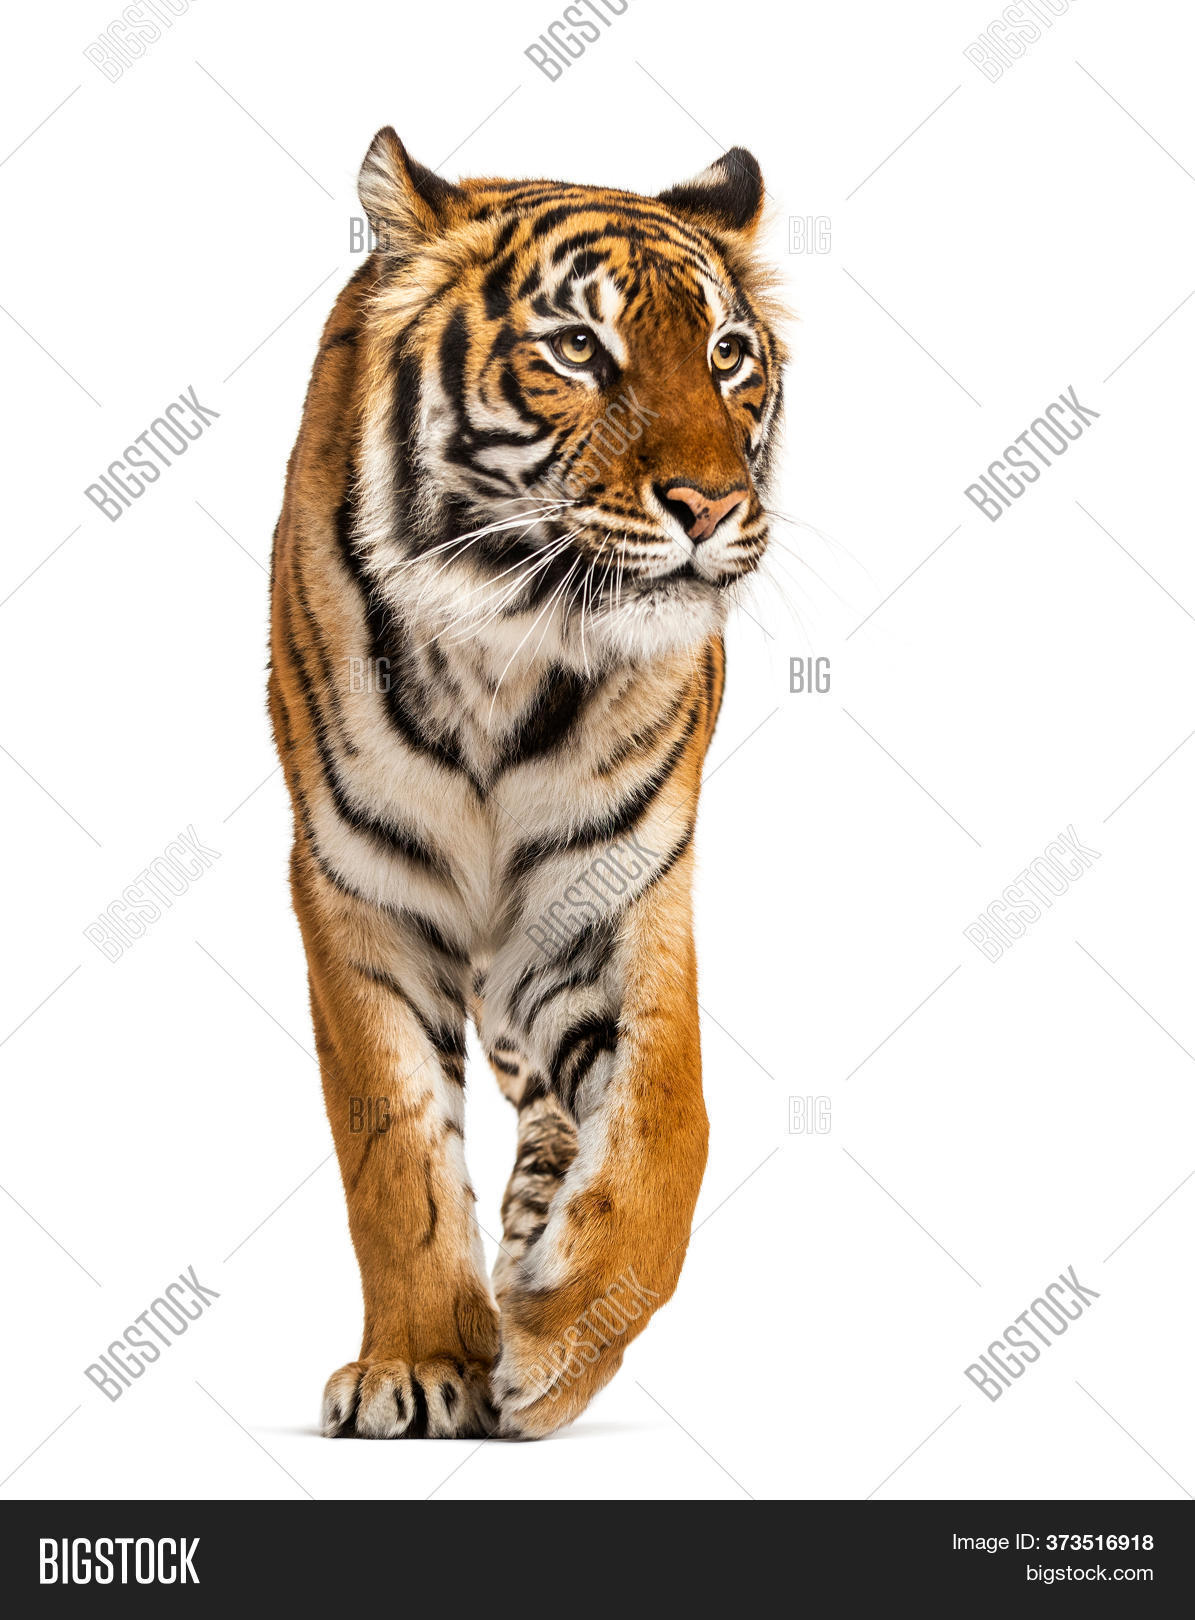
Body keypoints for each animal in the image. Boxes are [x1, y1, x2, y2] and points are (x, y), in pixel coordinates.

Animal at [268, 126, 785, 1440]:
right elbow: (392, 1153)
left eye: (727, 356)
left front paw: (554, 1338)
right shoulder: (357, 888)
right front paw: (415, 1367)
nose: (712, 505)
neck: (513, 641)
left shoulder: (611, 887)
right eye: (578, 350)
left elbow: (665, 1123)